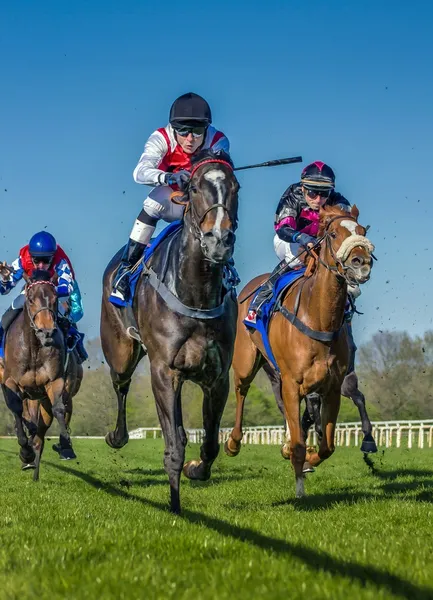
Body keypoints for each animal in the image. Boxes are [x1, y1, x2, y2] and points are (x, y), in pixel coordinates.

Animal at [0, 270, 80, 476]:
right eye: (30, 299)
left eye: (54, 298)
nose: (46, 332)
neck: (34, 348)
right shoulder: (11, 382)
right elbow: (16, 410)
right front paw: (25, 451)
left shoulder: (55, 380)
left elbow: (59, 408)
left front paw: (65, 444)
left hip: (44, 397)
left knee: (44, 425)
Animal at [100, 150, 240, 510]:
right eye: (193, 187)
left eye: (235, 187)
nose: (219, 240)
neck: (196, 290)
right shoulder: (164, 371)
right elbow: (174, 446)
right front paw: (175, 506)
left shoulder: (217, 376)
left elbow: (210, 444)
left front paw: (195, 469)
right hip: (121, 352)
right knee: (120, 385)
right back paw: (116, 436)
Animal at [224, 205, 372, 496]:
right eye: (333, 233)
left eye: (361, 231)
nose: (361, 262)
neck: (318, 317)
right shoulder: (293, 383)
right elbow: (300, 443)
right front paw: (300, 487)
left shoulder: (332, 386)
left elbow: (327, 445)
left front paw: (310, 459)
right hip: (246, 362)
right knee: (241, 391)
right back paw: (233, 442)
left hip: (276, 373)